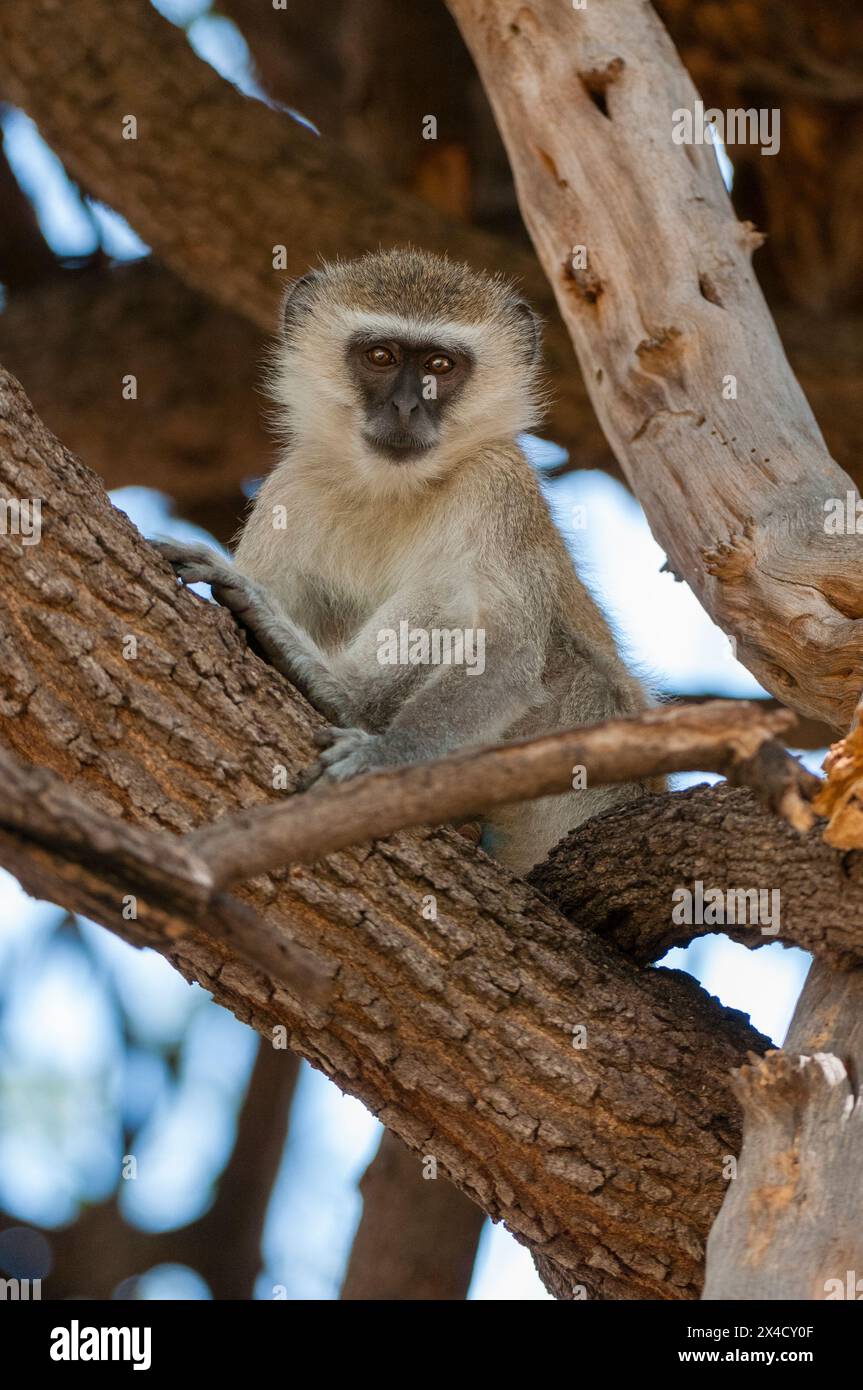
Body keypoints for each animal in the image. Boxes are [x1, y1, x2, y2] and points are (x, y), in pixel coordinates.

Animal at [154, 247, 654, 875]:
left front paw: (387, 758)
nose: (407, 406)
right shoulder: (290, 487)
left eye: (441, 364)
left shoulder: (497, 484)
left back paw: (335, 691)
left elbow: (506, 659)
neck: (392, 490)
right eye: (381, 357)